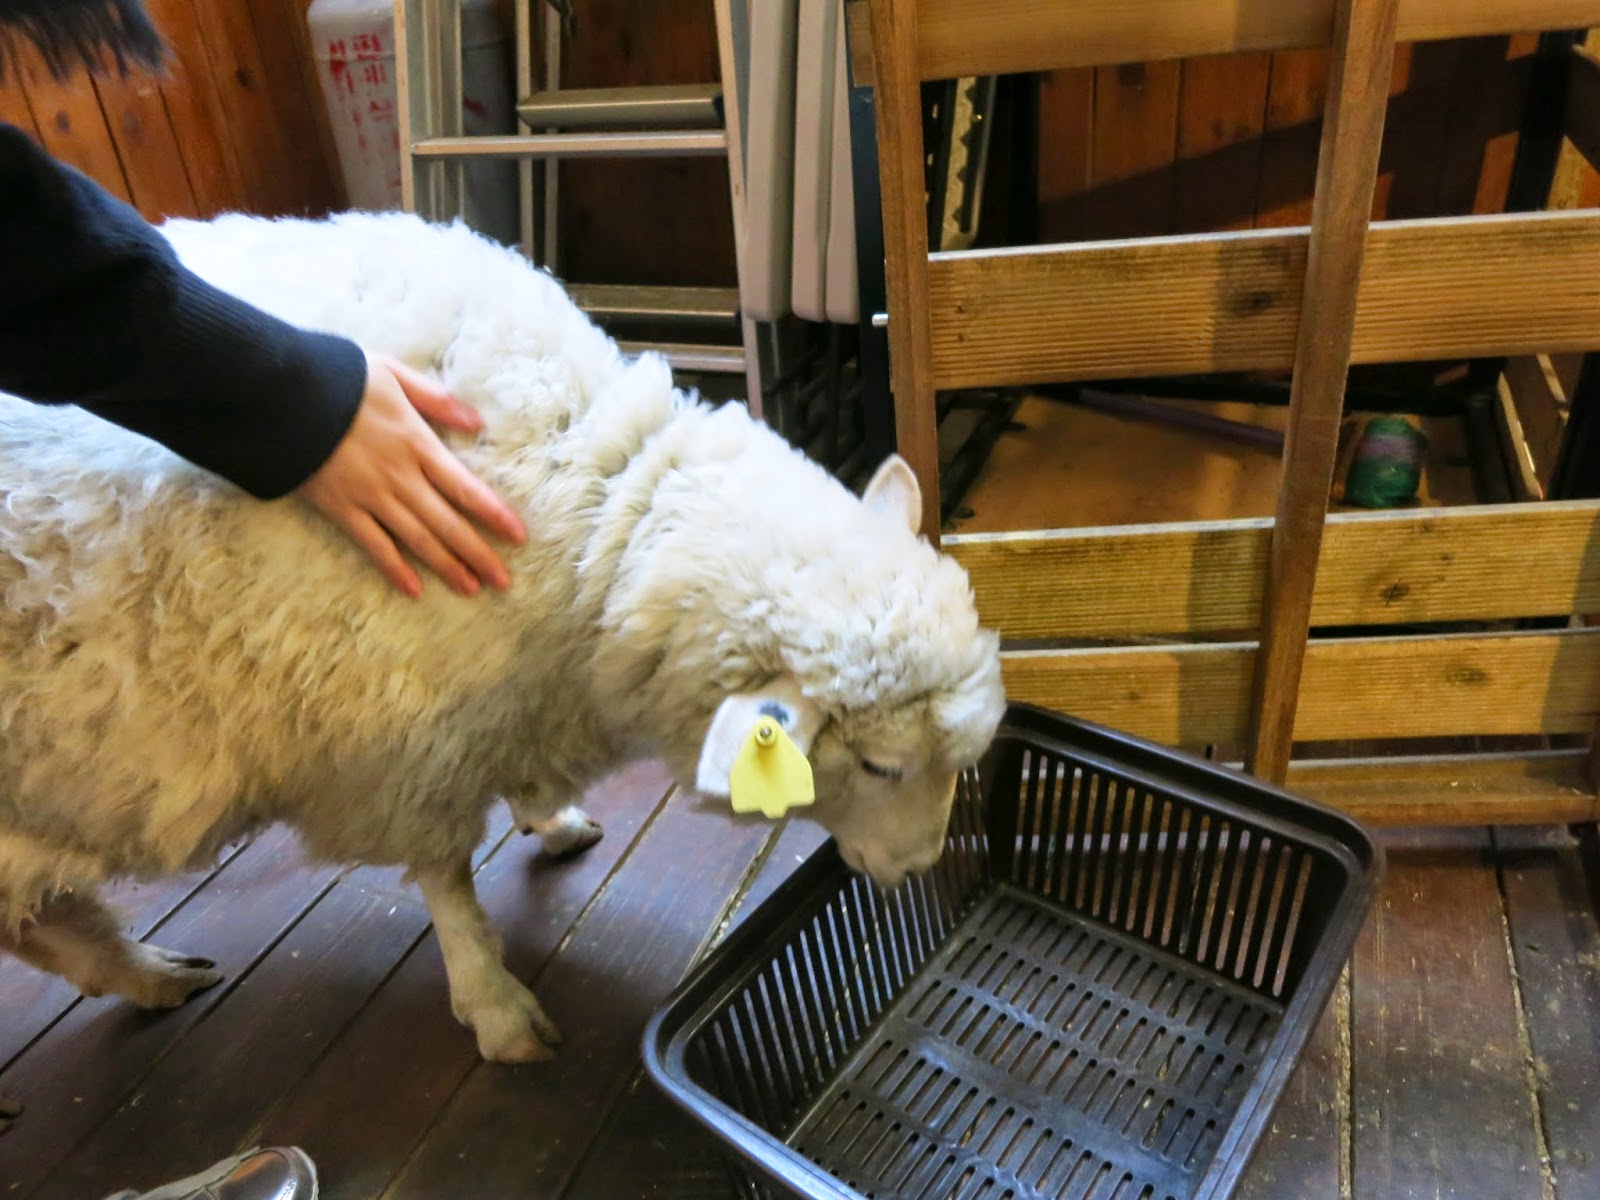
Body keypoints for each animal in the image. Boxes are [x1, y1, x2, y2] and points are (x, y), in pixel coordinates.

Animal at [0, 211, 1006, 1066]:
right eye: (878, 766)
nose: (922, 866)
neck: (599, 507)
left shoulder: (501, 697)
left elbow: (521, 777)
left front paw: (549, 818)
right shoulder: (395, 743)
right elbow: (446, 879)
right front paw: (492, 1003)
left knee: (47, 924)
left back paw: (152, 978)